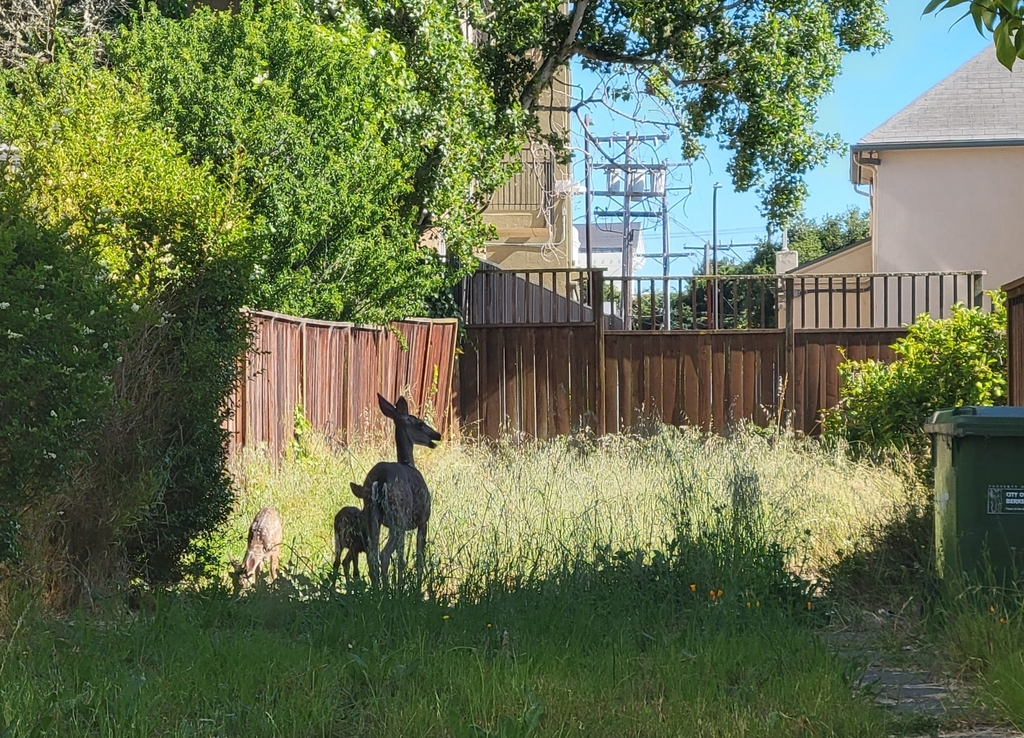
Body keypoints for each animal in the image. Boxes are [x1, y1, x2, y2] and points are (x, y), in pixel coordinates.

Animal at [357, 394, 441, 588]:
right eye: (420, 423)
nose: (437, 435)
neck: (408, 463)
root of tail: (381, 480)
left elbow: (402, 557)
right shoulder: (423, 519)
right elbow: (418, 557)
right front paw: (415, 587)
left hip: (371, 513)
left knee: (372, 554)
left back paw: (378, 589)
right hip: (398, 514)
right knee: (384, 553)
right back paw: (389, 589)